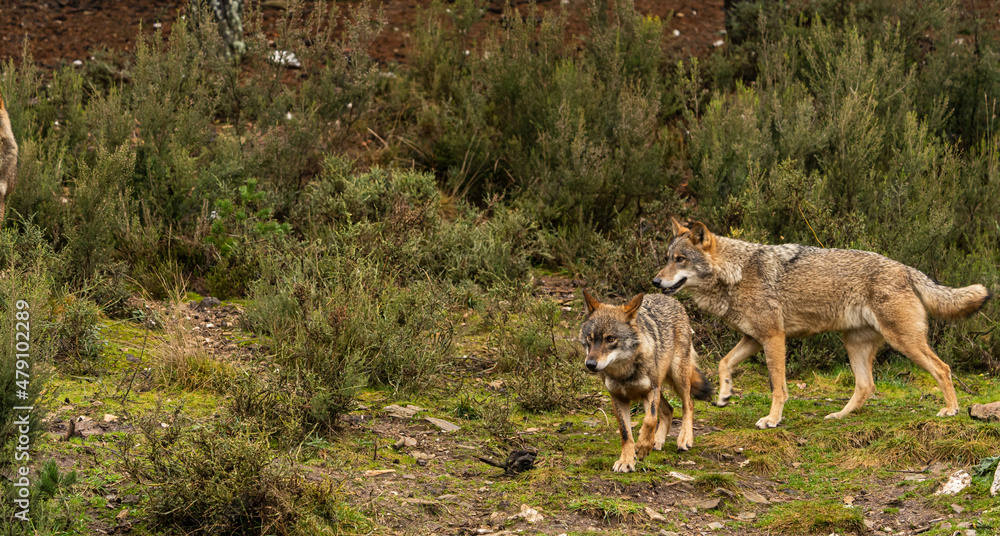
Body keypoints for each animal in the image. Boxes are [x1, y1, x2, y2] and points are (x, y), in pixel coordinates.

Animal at [580, 290, 713, 472]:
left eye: (610, 339)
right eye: (590, 338)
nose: (590, 364)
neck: (624, 372)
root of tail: (668, 297)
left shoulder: (651, 390)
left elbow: (650, 420)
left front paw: (642, 447)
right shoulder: (618, 398)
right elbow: (625, 433)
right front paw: (626, 460)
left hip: (678, 377)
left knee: (688, 404)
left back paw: (684, 438)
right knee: (669, 410)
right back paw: (657, 441)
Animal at [653, 219, 991, 429]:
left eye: (680, 259)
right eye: (668, 257)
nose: (655, 282)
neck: (735, 273)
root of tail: (906, 269)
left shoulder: (774, 338)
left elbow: (777, 386)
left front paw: (772, 420)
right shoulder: (754, 338)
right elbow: (724, 363)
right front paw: (724, 395)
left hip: (904, 342)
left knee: (942, 368)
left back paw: (951, 409)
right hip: (854, 345)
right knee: (866, 386)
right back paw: (838, 416)